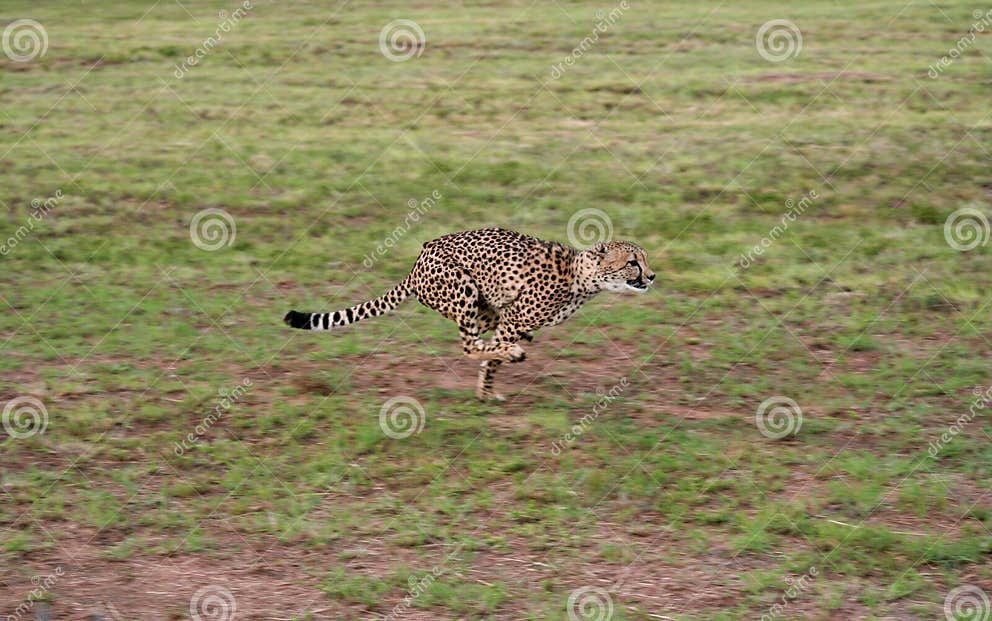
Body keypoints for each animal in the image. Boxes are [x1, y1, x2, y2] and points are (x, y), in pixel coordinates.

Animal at [284, 227, 655, 400]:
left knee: (476, 336)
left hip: (480, 304)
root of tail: (419, 259)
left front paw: (486, 391)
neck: (581, 277)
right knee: (468, 344)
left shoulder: (507, 317)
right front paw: (487, 388)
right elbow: (490, 357)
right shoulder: (514, 317)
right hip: (461, 288)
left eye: (644, 259)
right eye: (632, 262)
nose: (651, 276)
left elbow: (491, 354)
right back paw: (512, 351)